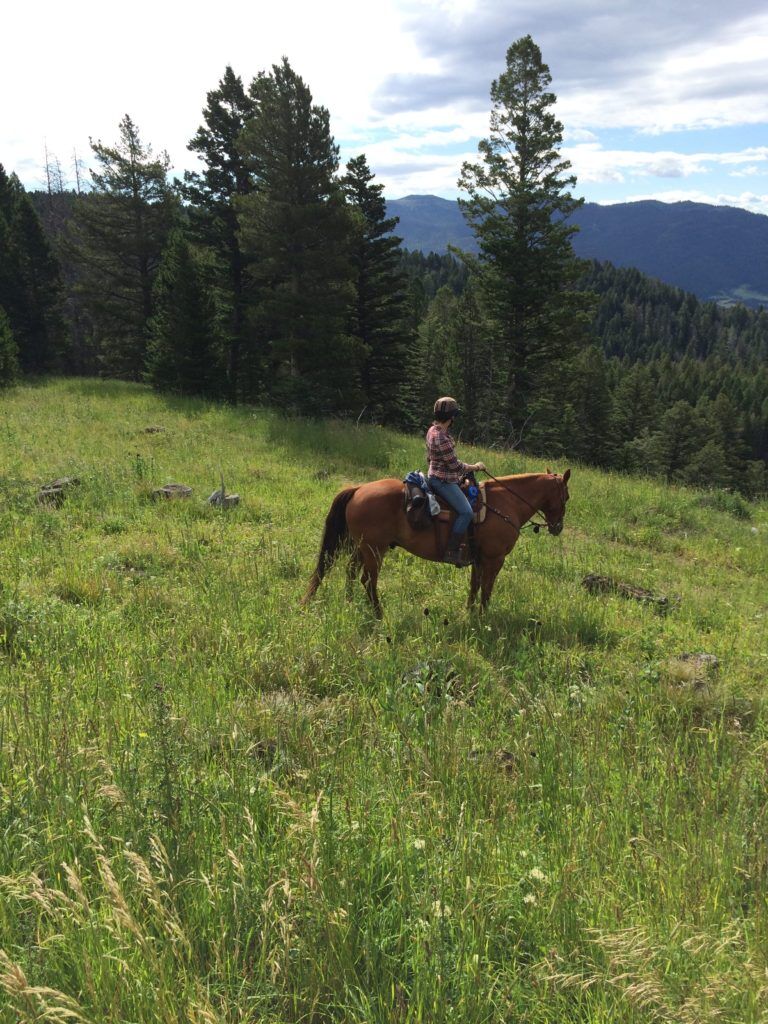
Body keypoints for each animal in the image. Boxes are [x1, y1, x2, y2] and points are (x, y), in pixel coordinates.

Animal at [302, 469, 571, 618]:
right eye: (566, 496)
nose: (557, 527)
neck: (505, 504)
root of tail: (358, 489)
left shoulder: (478, 558)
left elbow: (474, 587)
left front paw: (469, 613)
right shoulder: (494, 559)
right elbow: (486, 590)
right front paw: (483, 618)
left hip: (362, 546)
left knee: (350, 570)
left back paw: (349, 602)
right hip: (374, 549)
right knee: (367, 580)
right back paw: (379, 614)